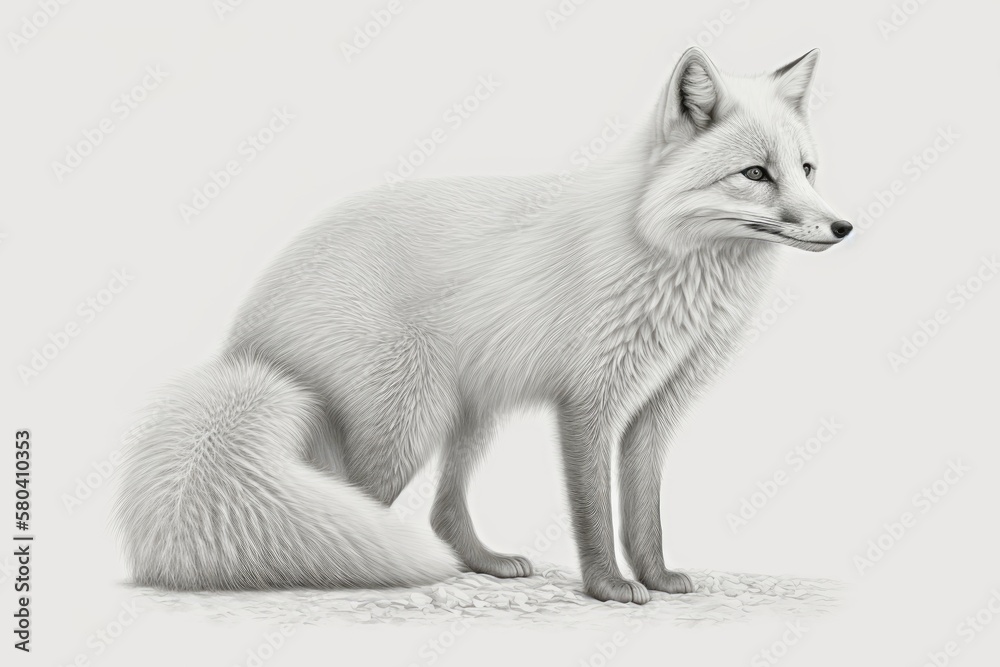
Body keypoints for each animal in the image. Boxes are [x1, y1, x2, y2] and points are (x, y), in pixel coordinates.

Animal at [114, 47, 851, 604]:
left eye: (806, 169)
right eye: (754, 174)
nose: (843, 227)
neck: (665, 258)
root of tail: (248, 329)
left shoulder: (657, 408)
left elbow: (644, 511)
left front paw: (657, 576)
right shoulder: (588, 401)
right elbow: (594, 508)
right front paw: (608, 587)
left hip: (471, 411)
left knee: (441, 509)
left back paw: (482, 562)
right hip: (408, 422)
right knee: (355, 507)